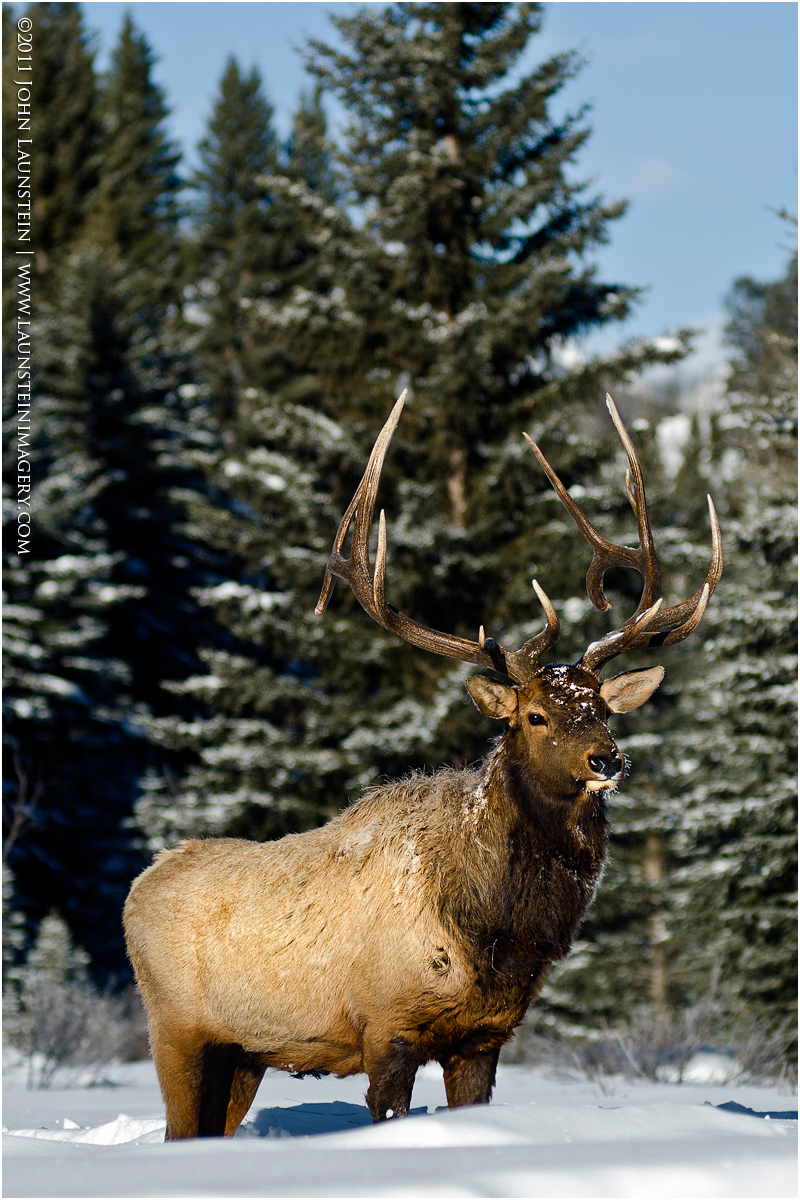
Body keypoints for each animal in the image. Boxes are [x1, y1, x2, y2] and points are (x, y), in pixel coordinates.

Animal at [123, 392, 722, 1140]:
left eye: (605, 711)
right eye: (535, 716)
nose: (607, 757)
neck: (497, 933)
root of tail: (138, 886)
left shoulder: (485, 1037)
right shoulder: (388, 1025)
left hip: (244, 1053)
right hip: (175, 1028)